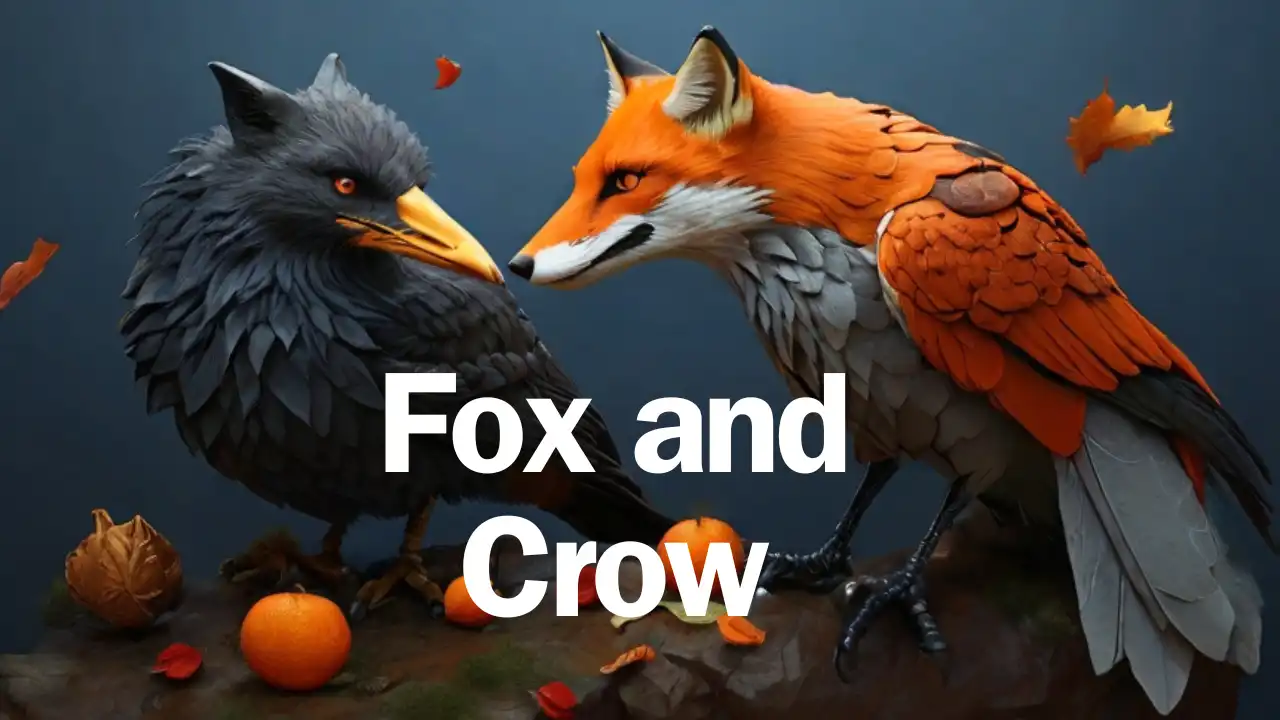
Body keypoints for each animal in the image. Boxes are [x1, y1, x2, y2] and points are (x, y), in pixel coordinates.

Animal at [508, 26, 1272, 716]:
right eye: (583, 180)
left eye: (627, 181)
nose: (516, 265)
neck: (796, 247)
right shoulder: (864, 396)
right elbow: (865, 491)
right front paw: (819, 563)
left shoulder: (967, 429)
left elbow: (947, 504)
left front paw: (899, 591)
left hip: (1076, 403)